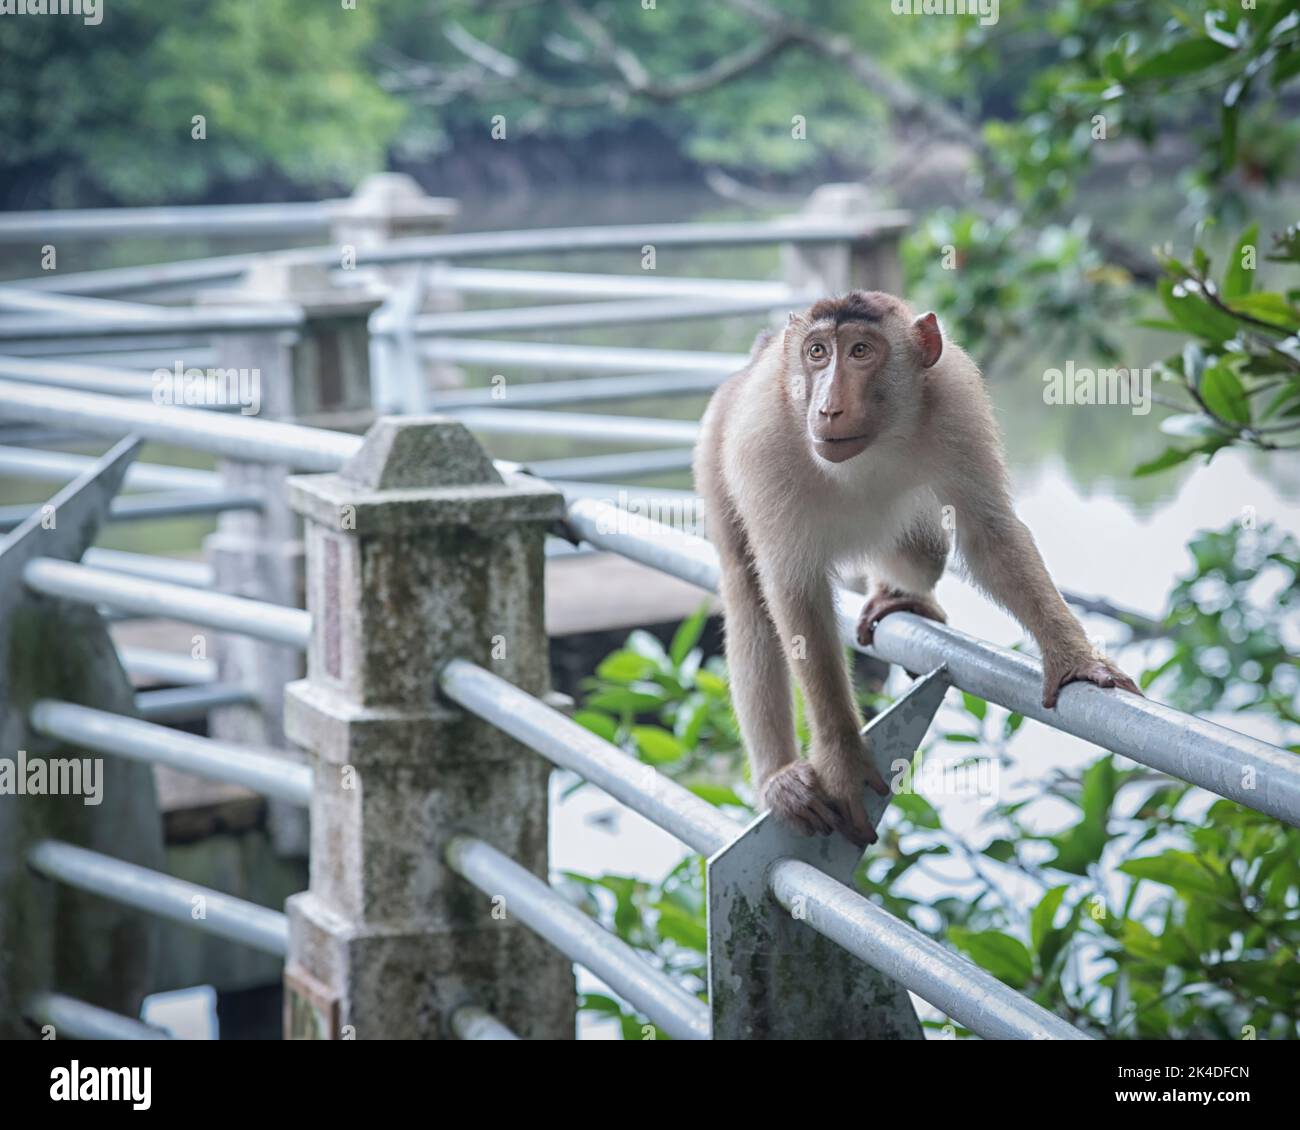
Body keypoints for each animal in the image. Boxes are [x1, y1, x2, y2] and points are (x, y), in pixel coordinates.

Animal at [694, 290, 1141, 848]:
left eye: (861, 351)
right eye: (817, 352)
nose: (828, 406)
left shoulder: (955, 404)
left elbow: (989, 535)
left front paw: (1076, 658)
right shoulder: (761, 446)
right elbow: (794, 595)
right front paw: (841, 757)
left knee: (925, 548)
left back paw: (899, 595)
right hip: (718, 443)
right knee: (747, 592)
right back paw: (781, 778)